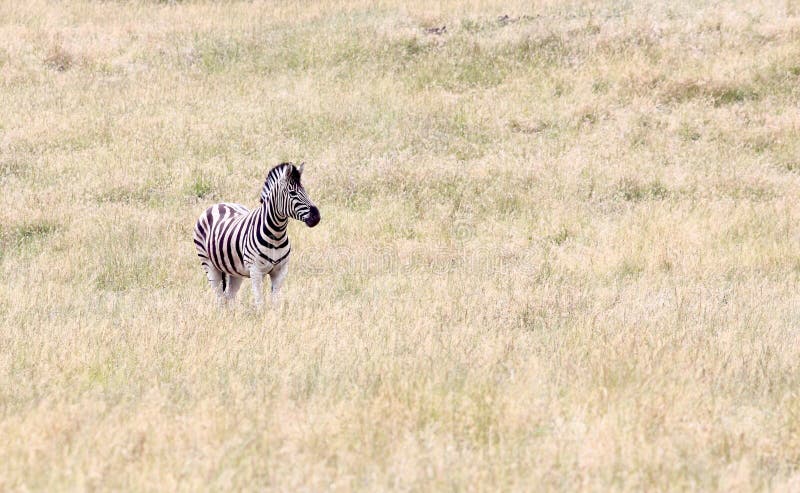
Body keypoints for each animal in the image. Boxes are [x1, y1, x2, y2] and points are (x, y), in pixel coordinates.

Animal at [193, 162, 320, 307]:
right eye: (292, 193)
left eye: (305, 191)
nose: (316, 216)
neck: (276, 234)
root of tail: (219, 204)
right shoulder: (256, 270)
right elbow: (260, 303)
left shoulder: (280, 271)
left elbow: (275, 302)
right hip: (208, 264)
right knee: (219, 297)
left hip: (234, 271)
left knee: (229, 297)